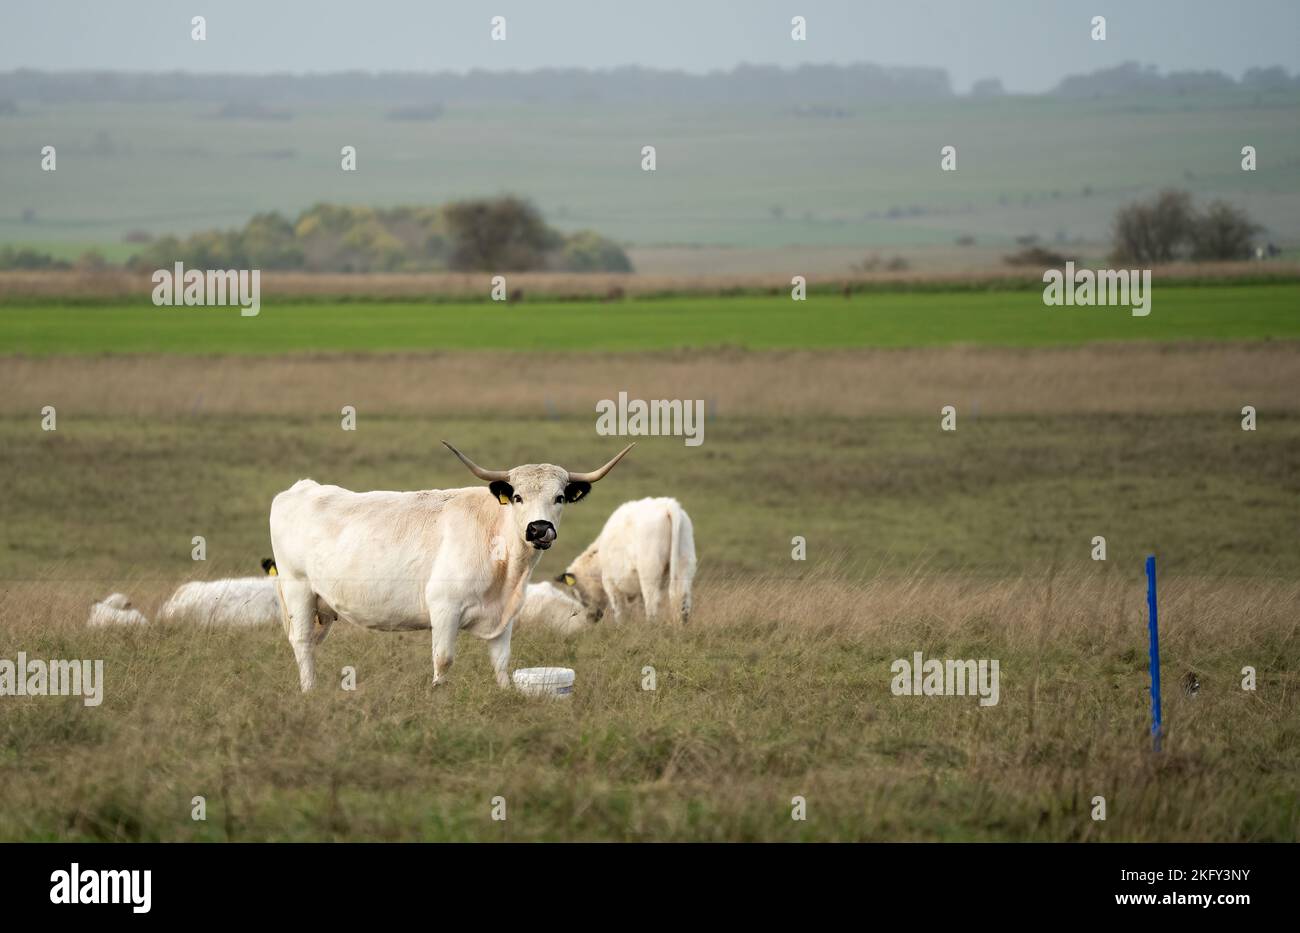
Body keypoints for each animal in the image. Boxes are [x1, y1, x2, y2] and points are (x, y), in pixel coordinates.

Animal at [268, 441, 633, 691]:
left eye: (559, 497)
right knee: (302, 642)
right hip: (298, 589)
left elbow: (502, 664)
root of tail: (302, 488)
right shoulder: (444, 609)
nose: (539, 529)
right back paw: (309, 691)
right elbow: (443, 660)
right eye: (517, 497)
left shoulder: (505, 615)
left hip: (322, 604)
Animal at [559, 497, 696, 625]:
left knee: (652, 602)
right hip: (684, 562)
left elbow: (620, 611)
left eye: (575, 592)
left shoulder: (610, 583)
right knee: (682, 599)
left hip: (649, 571)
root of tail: (668, 505)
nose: (590, 618)